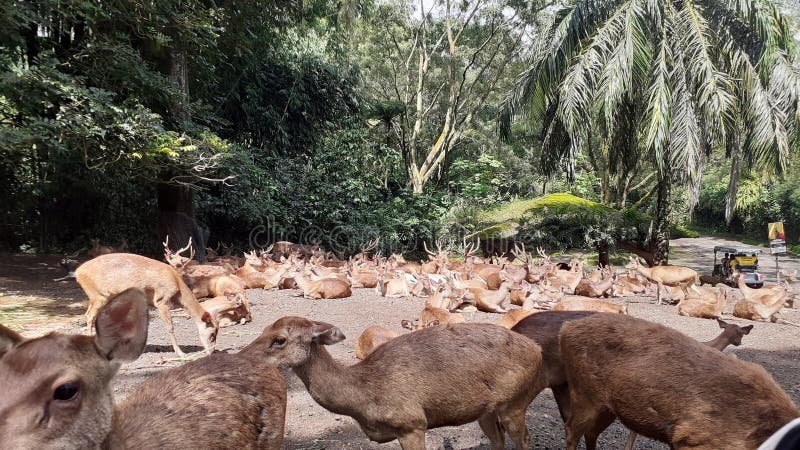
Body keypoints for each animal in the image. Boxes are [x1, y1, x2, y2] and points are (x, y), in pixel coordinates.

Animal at [75, 253, 218, 356]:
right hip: (98, 295)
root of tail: (77, 273)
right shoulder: (161, 299)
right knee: (90, 316)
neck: (178, 288)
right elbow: (170, 326)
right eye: (212, 334)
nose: (211, 352)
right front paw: (180, 353)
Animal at [251, 316, 544, 450]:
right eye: (263, 329)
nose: (245, 355)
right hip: (486, 411)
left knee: (525, 438)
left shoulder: (412, 423)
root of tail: (537, 350)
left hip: (515, 402)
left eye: (279, 339)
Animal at [558, 313, 799, 450]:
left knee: (590, 433)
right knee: (571, 430)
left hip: (608, 408)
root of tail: (565, 328)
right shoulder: (693, 439)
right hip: (584, 394)